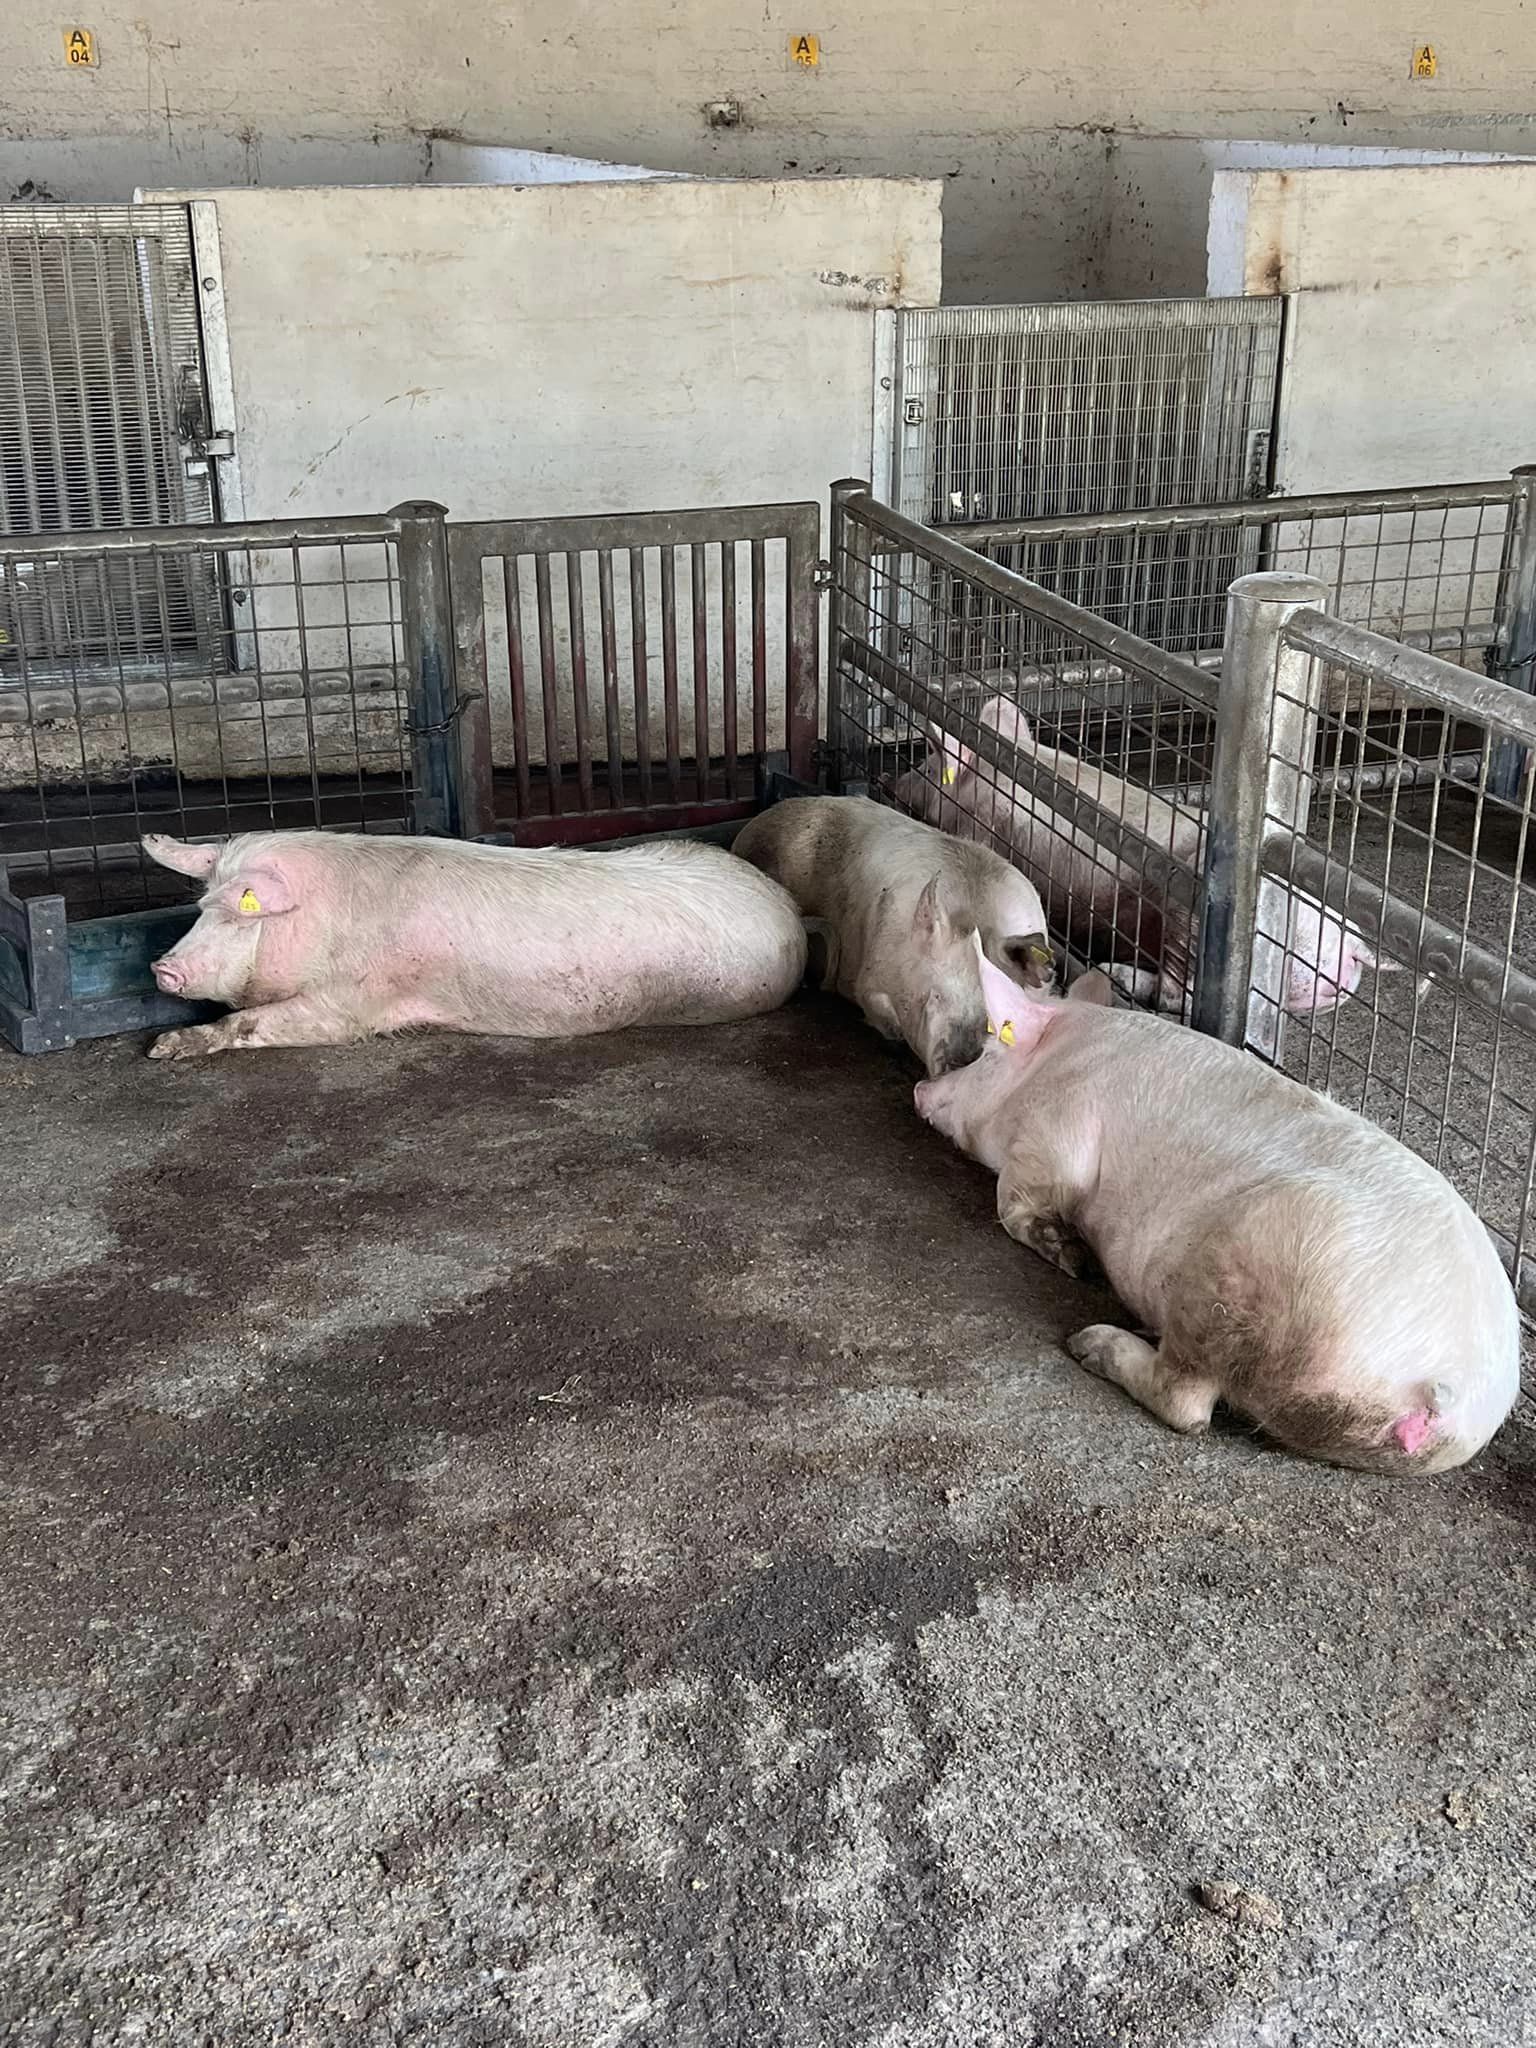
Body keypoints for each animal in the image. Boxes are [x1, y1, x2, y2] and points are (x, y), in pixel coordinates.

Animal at [141, 828, 808, 1059]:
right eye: (199, 906)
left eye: (238, 913)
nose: (160, 967)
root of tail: (787, 906)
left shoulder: (353, 1003)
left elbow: (256, 1022)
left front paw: (160, 1049)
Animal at [895, 695, 1388, 1033]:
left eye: (926, 764)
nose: (893, 779)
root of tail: (1353, 947)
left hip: (1188, 922)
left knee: (1174, 995)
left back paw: (1115, 975)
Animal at [913, 932, 1520, 1475]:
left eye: (985, 1051)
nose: (920, 1090)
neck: (1059, 1056)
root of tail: (1450, 1391)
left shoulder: (1060, 1131)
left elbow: (1015, 1198)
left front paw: (1074, 1258)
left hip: (1234, 1274)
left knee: (1187, 1402)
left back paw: (1090, 1343)